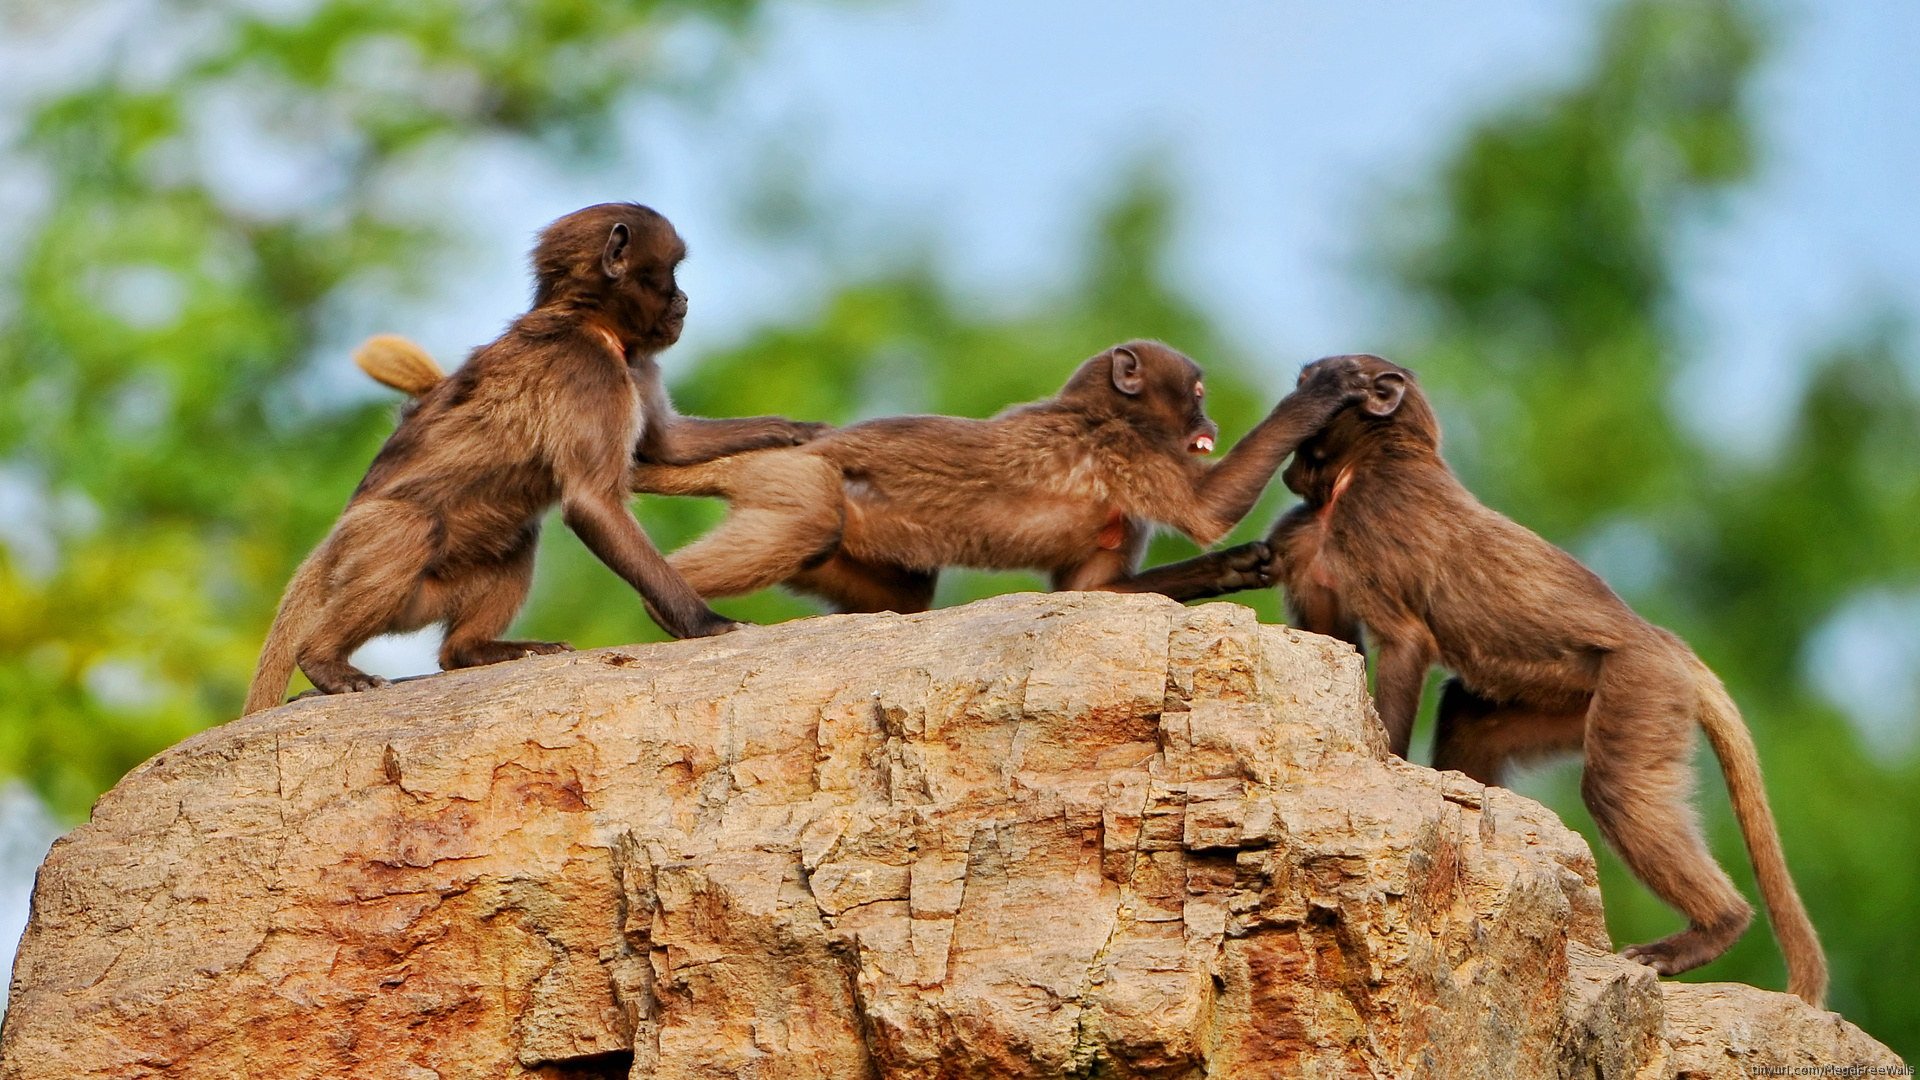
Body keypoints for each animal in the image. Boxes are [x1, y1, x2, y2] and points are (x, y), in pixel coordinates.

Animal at [245, 203, 822, 714]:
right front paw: (706, 624)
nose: (684, 298)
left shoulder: (633, 366)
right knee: (409, 526)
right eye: (671, 273)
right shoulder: (590, 372)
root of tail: (328, 552)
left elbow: (666, 444)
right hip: (382, 571)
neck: (586, 319)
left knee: (514, 542)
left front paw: (795, 431)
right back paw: (324, 663)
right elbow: (592, 502)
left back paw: (475, 650)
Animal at [359, 338, 1375, 613]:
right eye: (1194, 389)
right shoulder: (1132, 458)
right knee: (802, 516)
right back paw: (670, 608)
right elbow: (1203, 510)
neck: (1100, 411)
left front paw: (1233, 572)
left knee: (897, 589)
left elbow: (1095, 596)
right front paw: (1323, 394)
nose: (1208, 422)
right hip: (796, 487)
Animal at [1259, 353, 1826, 1005]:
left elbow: (1404, 643)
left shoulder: (1371, 519)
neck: (1380, 456)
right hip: (1573, 695)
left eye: (1311, 383)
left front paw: (1392, 766)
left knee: (1615, 789)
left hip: (1640, 685)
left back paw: (1713, 929)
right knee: (1470, 719)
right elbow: (1333, 642)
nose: (1291, 458)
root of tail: (1663, 642)